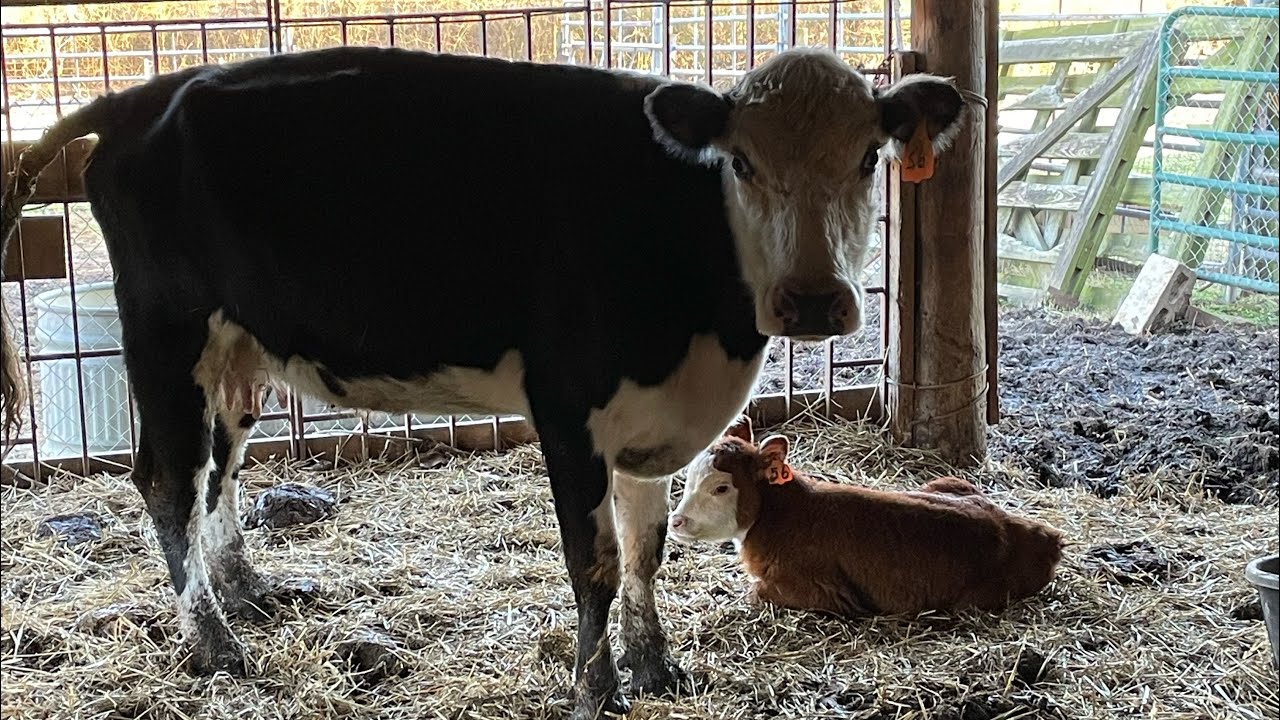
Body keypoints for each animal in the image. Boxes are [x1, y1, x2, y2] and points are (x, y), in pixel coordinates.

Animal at [0, 46, 967, 717]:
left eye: (871, 156)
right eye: (741, 163)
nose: (812, 300)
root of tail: (142, 98)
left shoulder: (654, 423)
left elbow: (647, 549)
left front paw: (656, 666)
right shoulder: (568, 407)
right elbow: (596, 564)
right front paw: (596, 691)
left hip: (237, 348)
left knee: (218, 470)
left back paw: (247, 589)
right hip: (168, 332)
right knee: (168, 481)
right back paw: (213, 643)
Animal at [670, 417, 1065, 617]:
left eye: (722, 488)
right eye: (687, 476)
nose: (676, 521)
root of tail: (1040, 534)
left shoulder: (822, 590)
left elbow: (755, 592)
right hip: (950, 482)